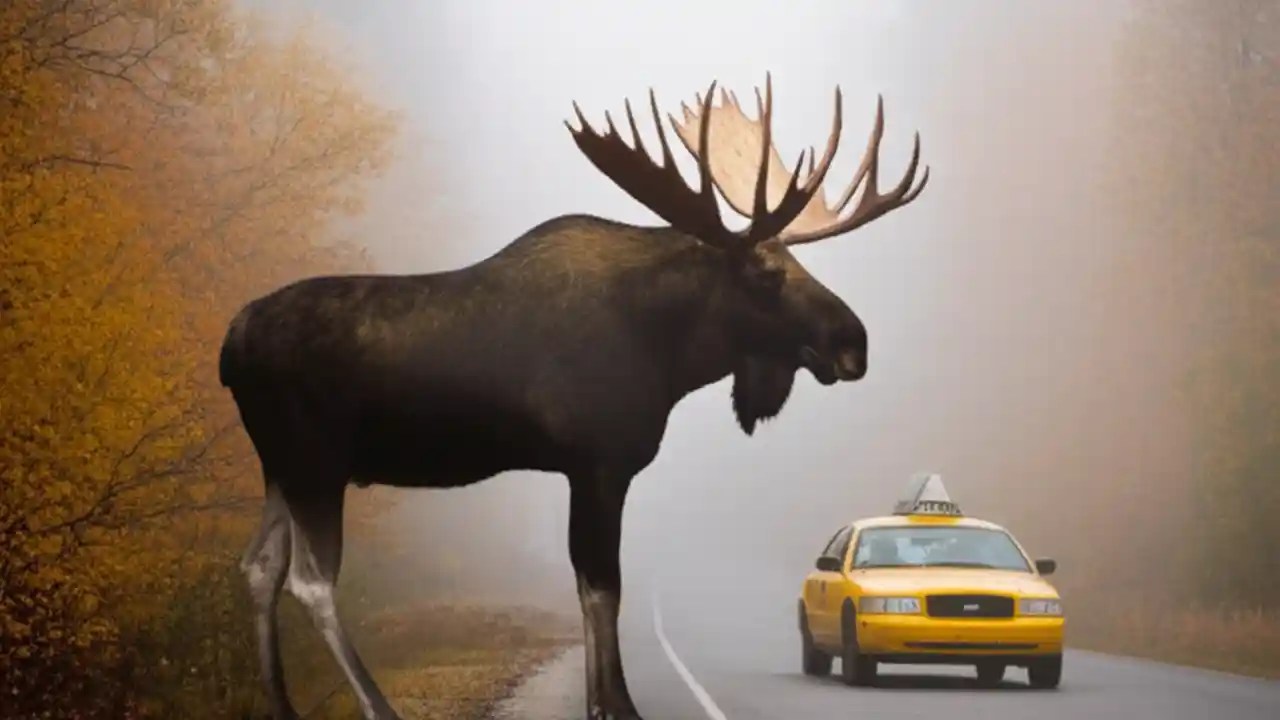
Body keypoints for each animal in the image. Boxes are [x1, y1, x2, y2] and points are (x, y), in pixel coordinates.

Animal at [219, 73, 928, 720]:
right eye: (764, 273)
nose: (855, 343)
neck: (670, 350)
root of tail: (231, 343)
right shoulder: (599, 463)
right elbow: (601, 587)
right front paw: (616, 705)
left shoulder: (587, 469)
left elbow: (591, 586)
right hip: (315, 462)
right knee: (310, 582)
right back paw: (376, 706)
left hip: (278, 466)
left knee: (258, 566)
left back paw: (280, 705)